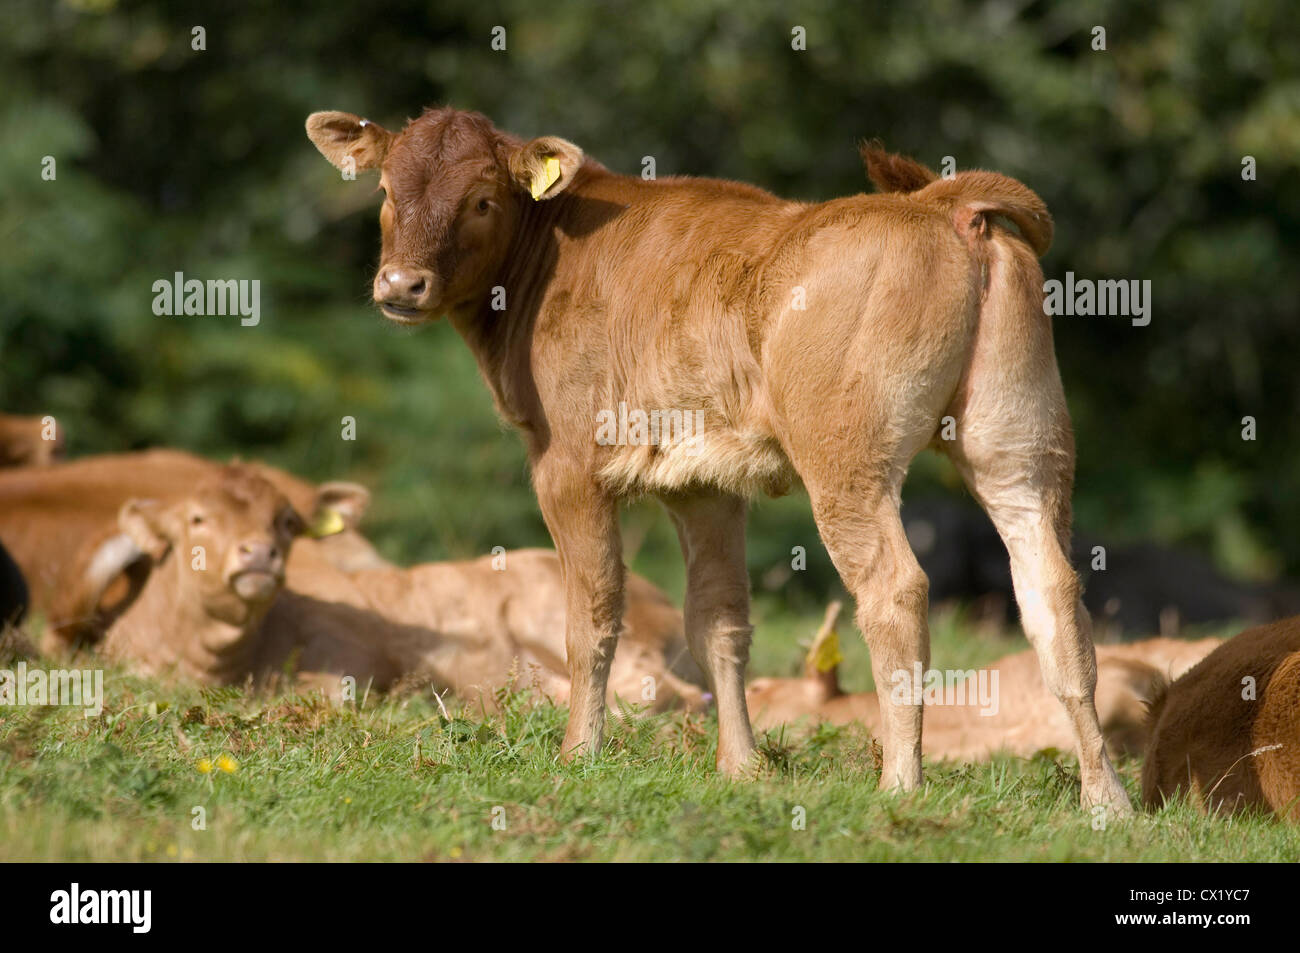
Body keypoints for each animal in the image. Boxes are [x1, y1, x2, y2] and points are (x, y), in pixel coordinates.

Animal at [305, 107, 1130, 812]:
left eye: (481, 198)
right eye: (386, 190)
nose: (400, 284)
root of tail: (939, 203)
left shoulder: (566, 463)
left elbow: (592, 615)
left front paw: (579, 753)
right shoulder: (703, 480)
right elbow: (719, 621)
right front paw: (743, 766)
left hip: (848, 458)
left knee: (896, 590)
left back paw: (901, 782)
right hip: (1019, 440)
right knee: (1052, 589)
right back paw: (1105, 800)